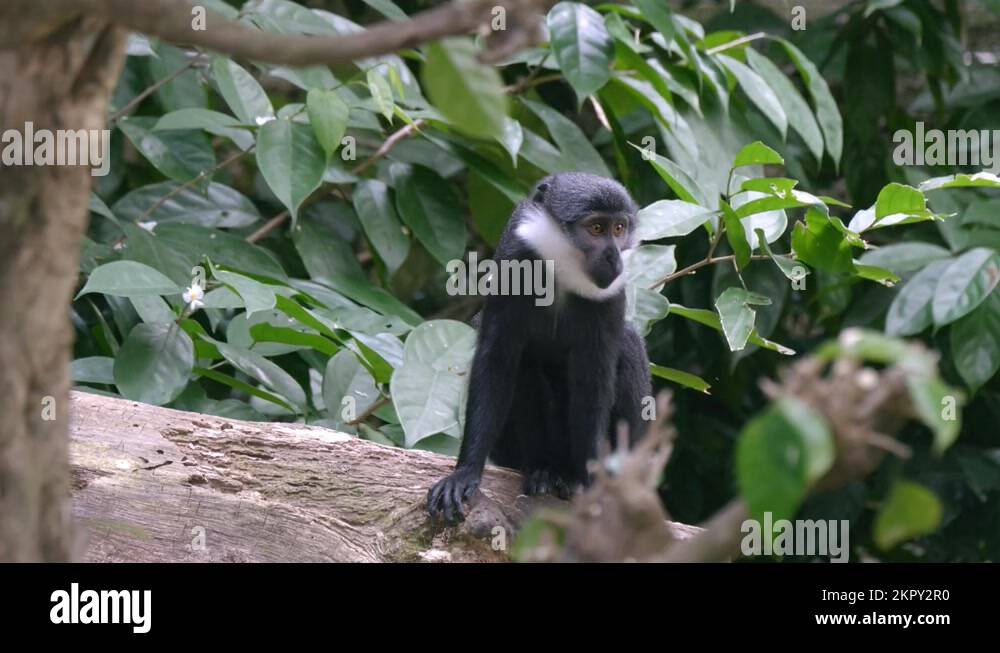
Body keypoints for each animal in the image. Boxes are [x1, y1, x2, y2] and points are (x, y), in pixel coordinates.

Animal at [427, 172, 652, 522]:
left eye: (619, 229)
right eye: (596, 228)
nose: (614, 258)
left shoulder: (610, 297)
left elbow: (594, 380)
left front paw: (588, 483)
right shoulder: (513, 258)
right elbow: (497, 360)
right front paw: (464, 472)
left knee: (627, 341)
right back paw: (542, 470)